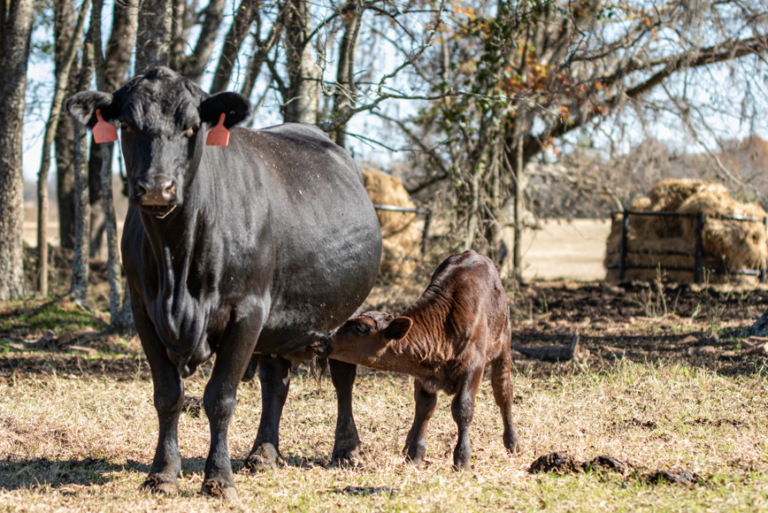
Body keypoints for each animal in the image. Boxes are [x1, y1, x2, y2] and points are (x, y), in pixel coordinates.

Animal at [65, 67, 382, 499]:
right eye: (126, 125)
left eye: (191, 126)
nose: (157, 187)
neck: (177, 269)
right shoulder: (144, 310)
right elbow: (167, 395)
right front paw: (162, 474)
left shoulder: (247, 310)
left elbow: (220, 398)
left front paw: (217, 478)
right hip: (279, 320)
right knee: (275, 380)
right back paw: (263, 454)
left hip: (344, 309)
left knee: (342, 373)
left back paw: (347, 449)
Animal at [313, 250, 521, 470]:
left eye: (360, 328)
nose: (324, 336)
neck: (445, 326)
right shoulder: (424, 373)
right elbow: (424, 408)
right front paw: (414, 454)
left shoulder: (473, 366)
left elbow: (463, 408)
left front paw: (462, 459)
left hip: (503, 344)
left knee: (503, 390)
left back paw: (512, 443)